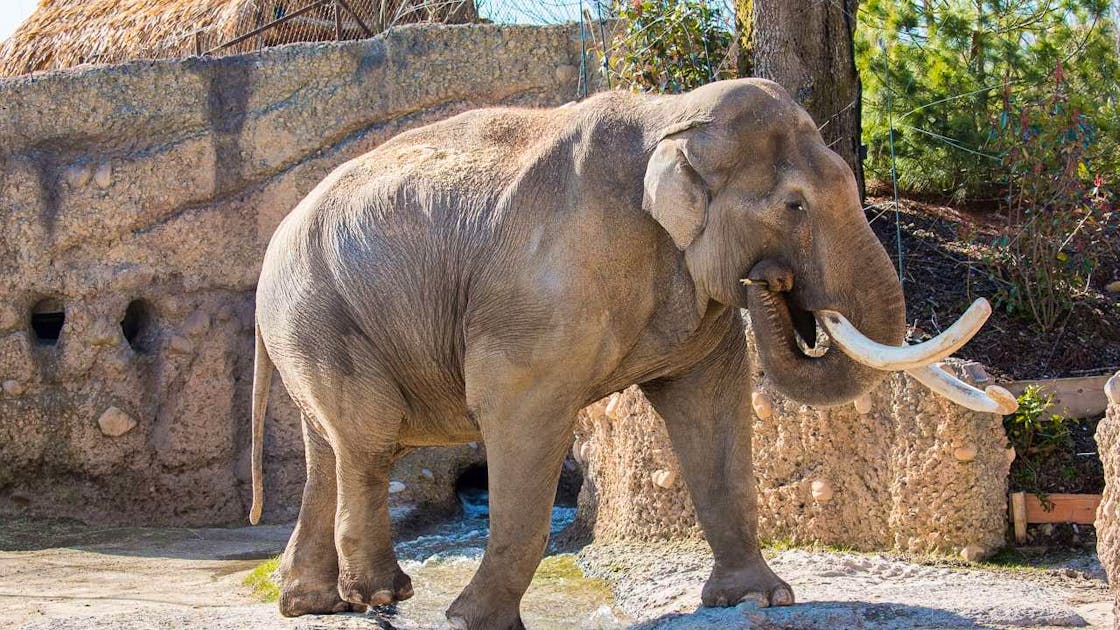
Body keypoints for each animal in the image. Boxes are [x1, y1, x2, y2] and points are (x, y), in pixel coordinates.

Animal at [248, 78, 1014, 628]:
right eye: (794, 206)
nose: (769, 280)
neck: (669, 116)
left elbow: (711, 409)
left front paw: (760, 600)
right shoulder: (545, 292)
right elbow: (520, 414)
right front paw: (472, 623)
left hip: (310, 325)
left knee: (330, 449)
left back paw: (312, 604)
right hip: (324, 311)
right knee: (369, 442)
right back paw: (382, 597)